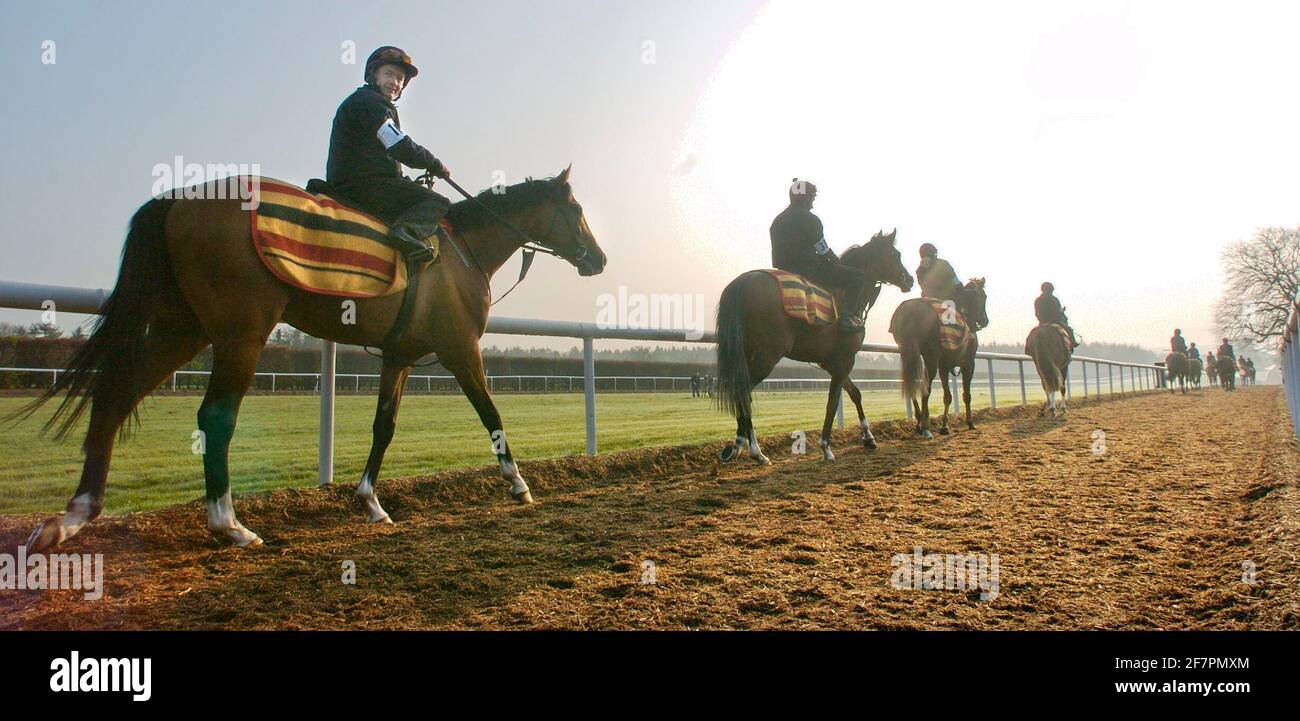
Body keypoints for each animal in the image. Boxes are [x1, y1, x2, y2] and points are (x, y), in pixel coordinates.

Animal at [19, 167, 608, 553]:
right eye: (578, 211)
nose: (599, 259)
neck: (463, 250)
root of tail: (177, 198)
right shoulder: (459, 347)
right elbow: (491, 414)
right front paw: (519, 484)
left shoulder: (398, 355)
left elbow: (383, 427)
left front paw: (370, 502)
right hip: (241, 332)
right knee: (215, 417)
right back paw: (228, 523)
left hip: (179, 329)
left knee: (116, 392)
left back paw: (74, 516)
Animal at [712, 229, 915, 462]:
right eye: (895, 254)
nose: (909, 279)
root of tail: (742, 282)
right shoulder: (846, 358)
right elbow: (833, 400)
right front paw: (826, 446)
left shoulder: (829, 361)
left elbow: (854, 393)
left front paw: (869, 437)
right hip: (767, 356)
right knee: (744, 392)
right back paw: (757, 451)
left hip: (744, 354)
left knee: (739, 391)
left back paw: (738, 444)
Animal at [889, 280, 987, 439]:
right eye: (984, 296)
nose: (985, 320)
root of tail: (909, 310)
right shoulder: (968, 364)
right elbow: (966, 395)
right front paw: (970, 422)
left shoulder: (944, 366)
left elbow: (947, 396)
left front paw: (945, 426)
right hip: (930, 357)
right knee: (925, 388)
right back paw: (925, 426)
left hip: (907, 353)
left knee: (911, 383)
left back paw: (919, 422)